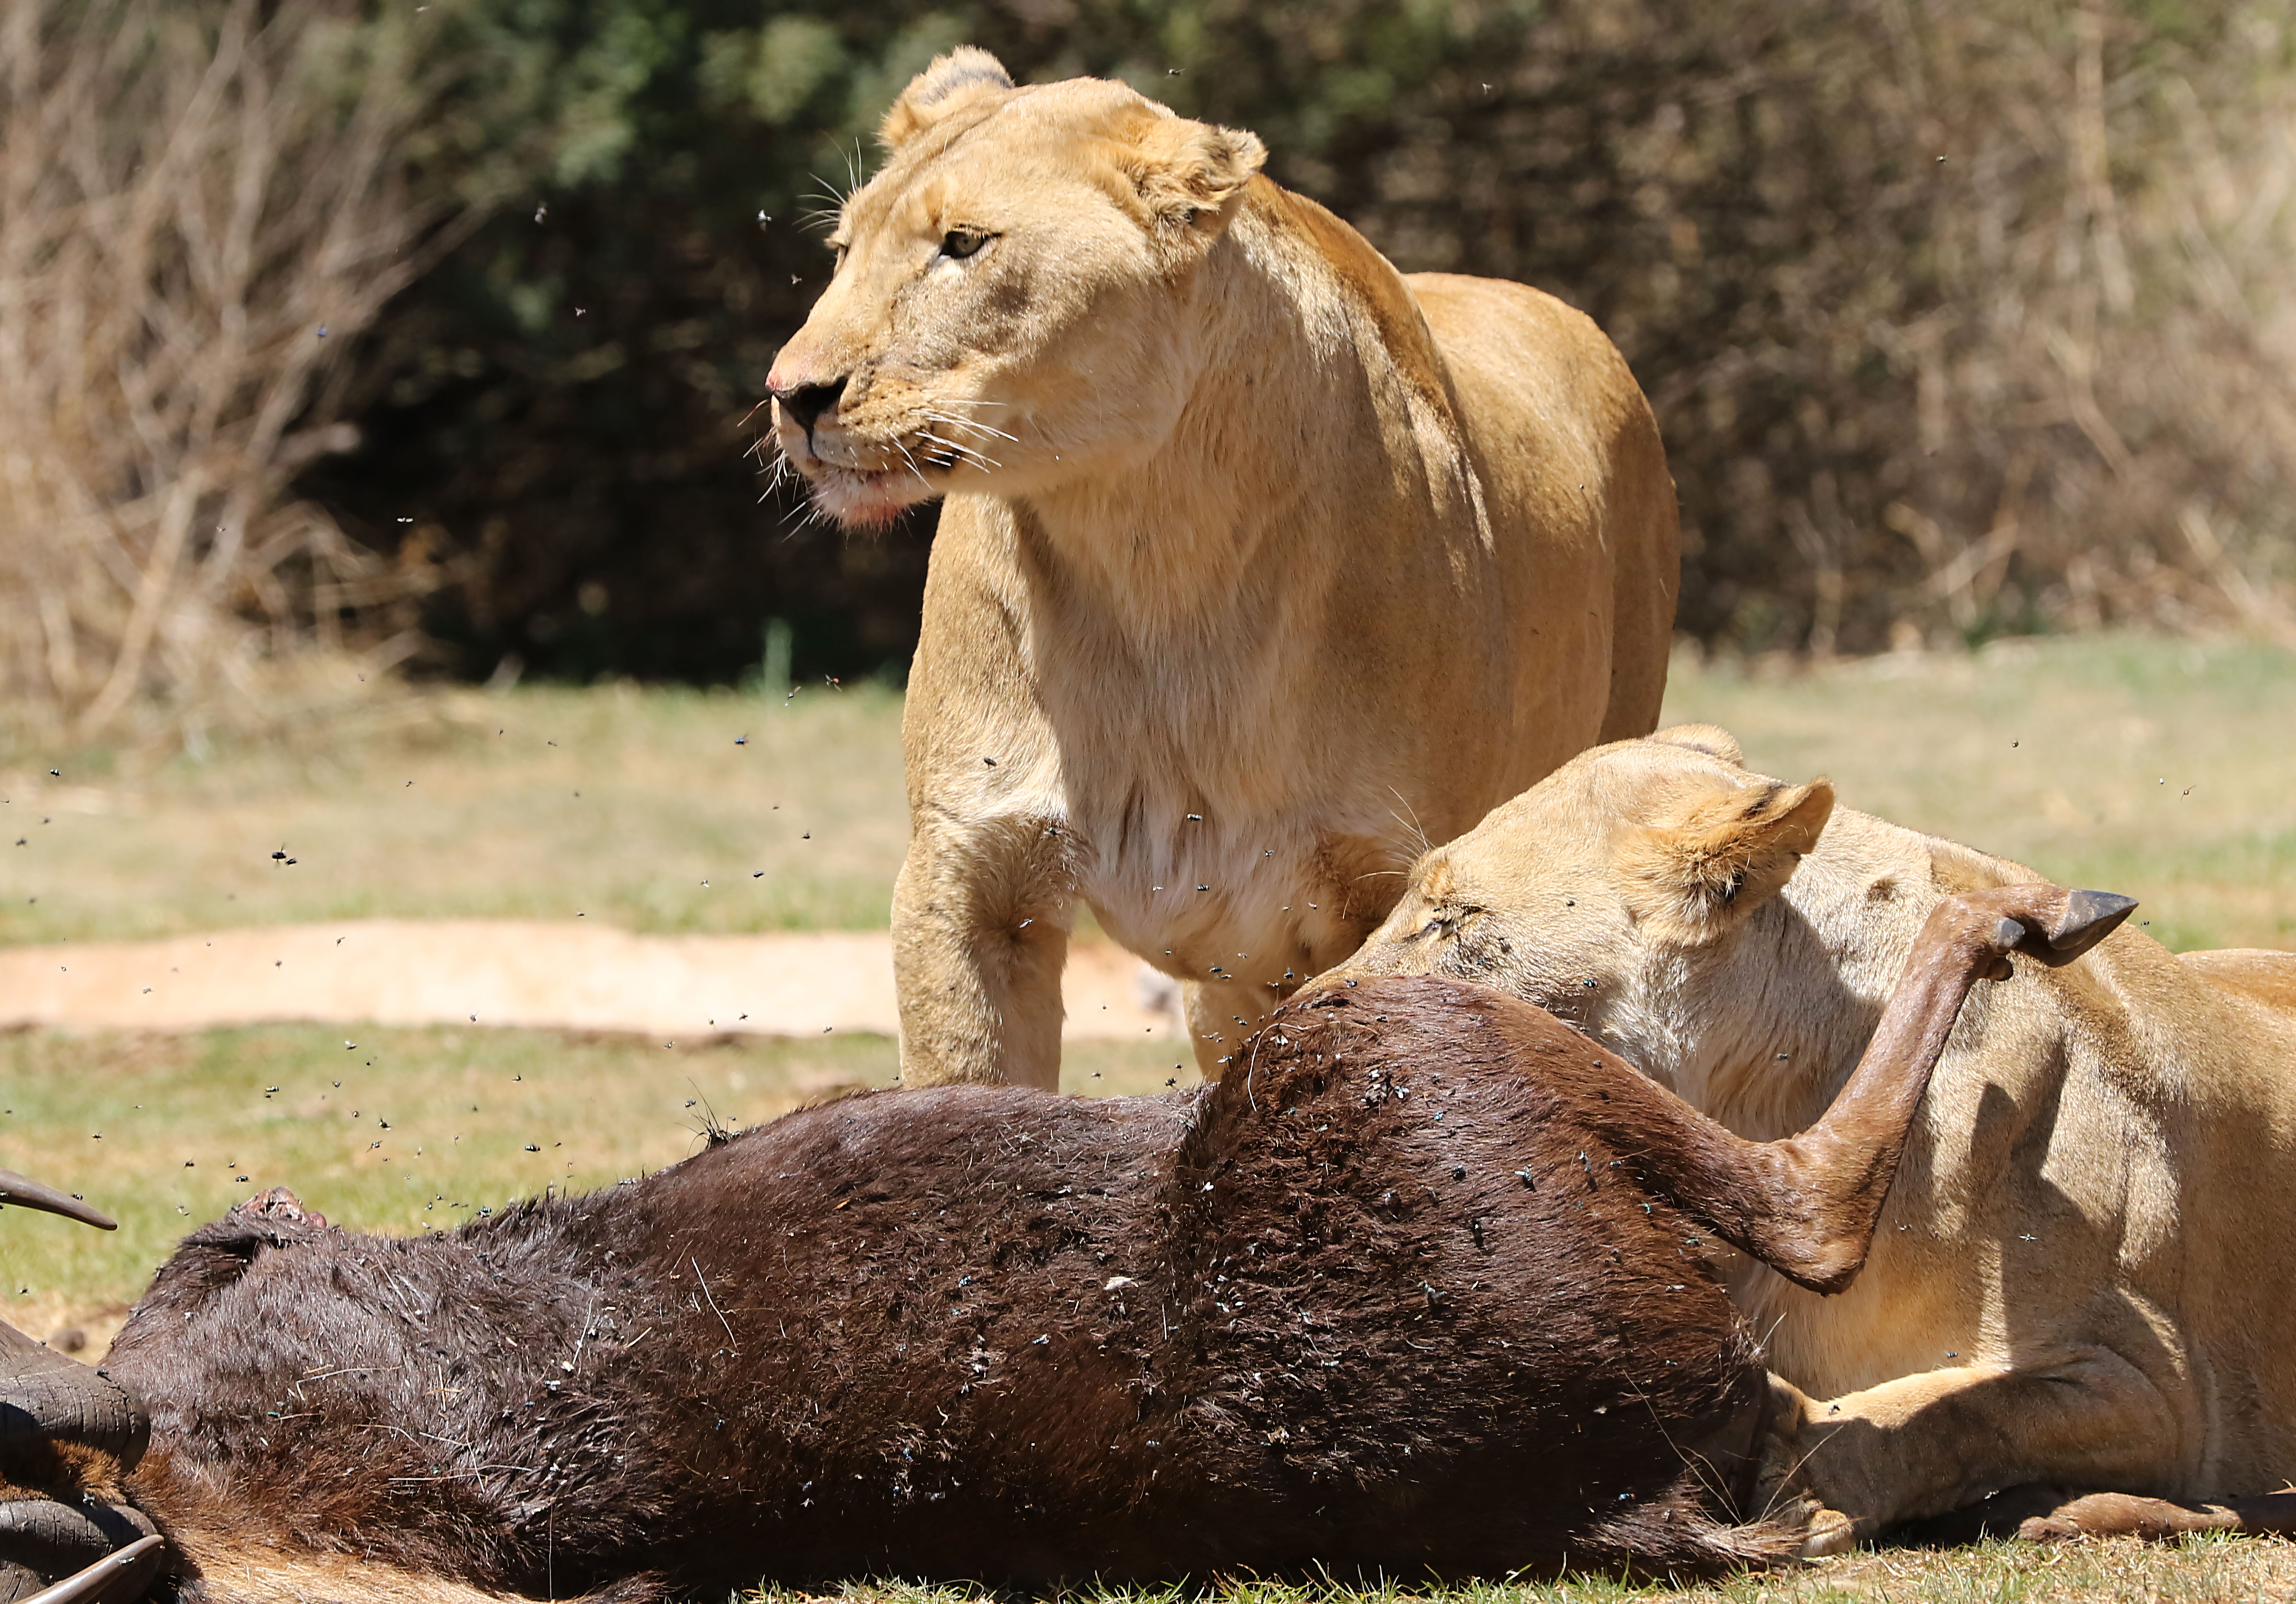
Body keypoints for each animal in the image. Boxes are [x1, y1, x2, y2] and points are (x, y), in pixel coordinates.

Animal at [765, 49, 1680, 1089]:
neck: (1147, 545)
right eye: (842, 250)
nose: (790, 395)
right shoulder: (966, 869)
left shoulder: (1387, 885)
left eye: (963, 244)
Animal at [1329, 723, 2296, 1552]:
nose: (1304, 1015)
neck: (1766, 1091)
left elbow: (1950, 1414)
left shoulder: (2153, 1384)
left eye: (1455, 919)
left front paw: (1797, 1477)